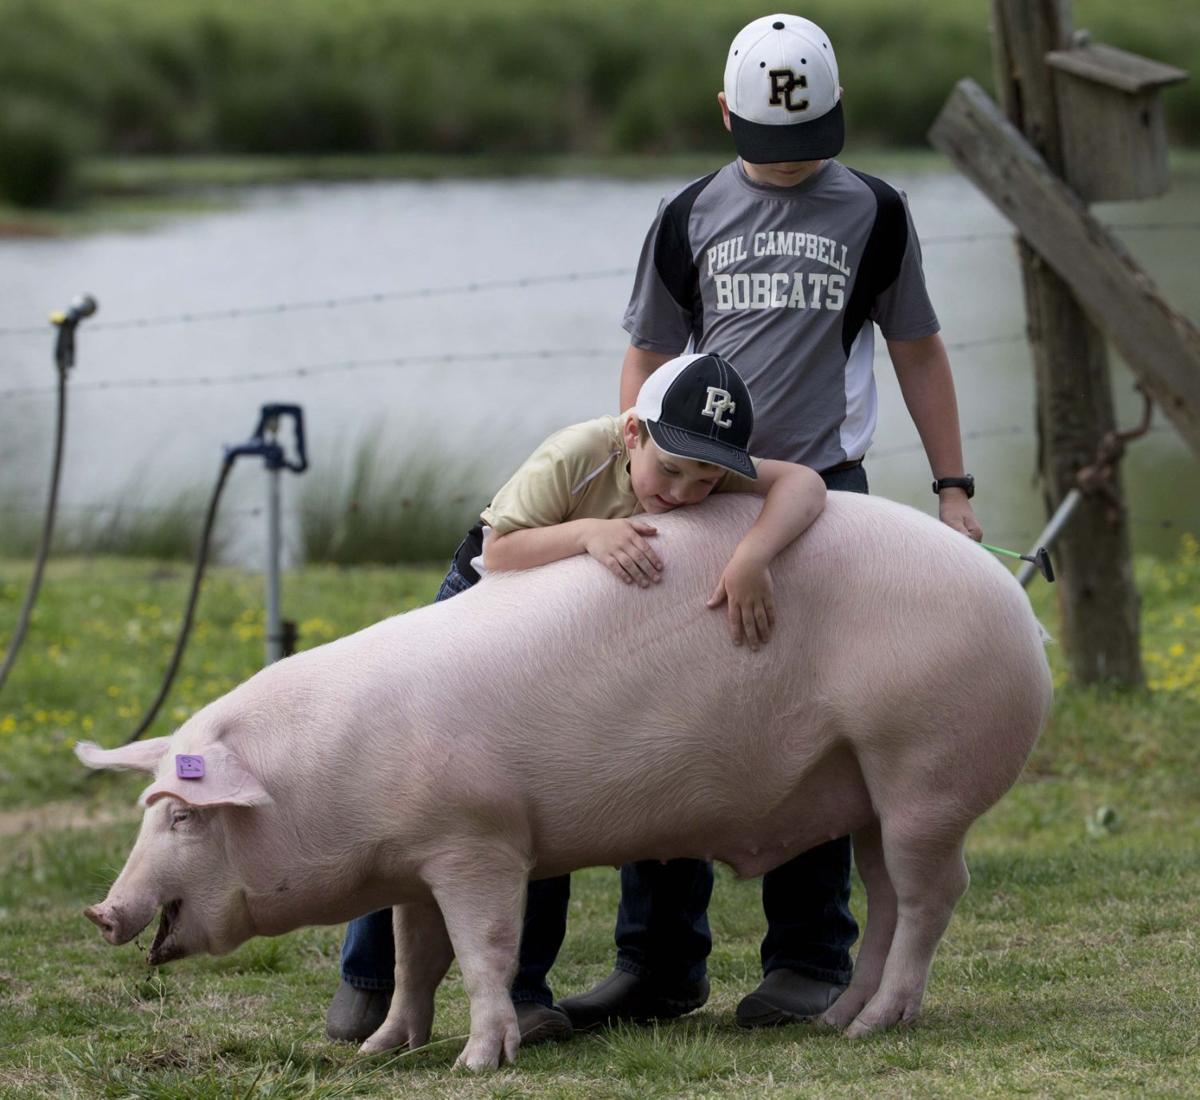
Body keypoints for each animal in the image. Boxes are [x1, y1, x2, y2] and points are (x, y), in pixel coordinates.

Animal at [78, 492, 1051, 1070]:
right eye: (149, 809)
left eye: (183, 820)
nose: (99, 910)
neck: (326, 777)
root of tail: (1017, 604)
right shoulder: (416, 860)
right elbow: (415, 956)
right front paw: (379, 1053)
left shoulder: (480, 843)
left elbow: (484, 950)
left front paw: (476, 1063)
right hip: (868, 790)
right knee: (884, 896)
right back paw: (837, 1022)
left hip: (924, 770)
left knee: (931, 895)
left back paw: (879, 1022)